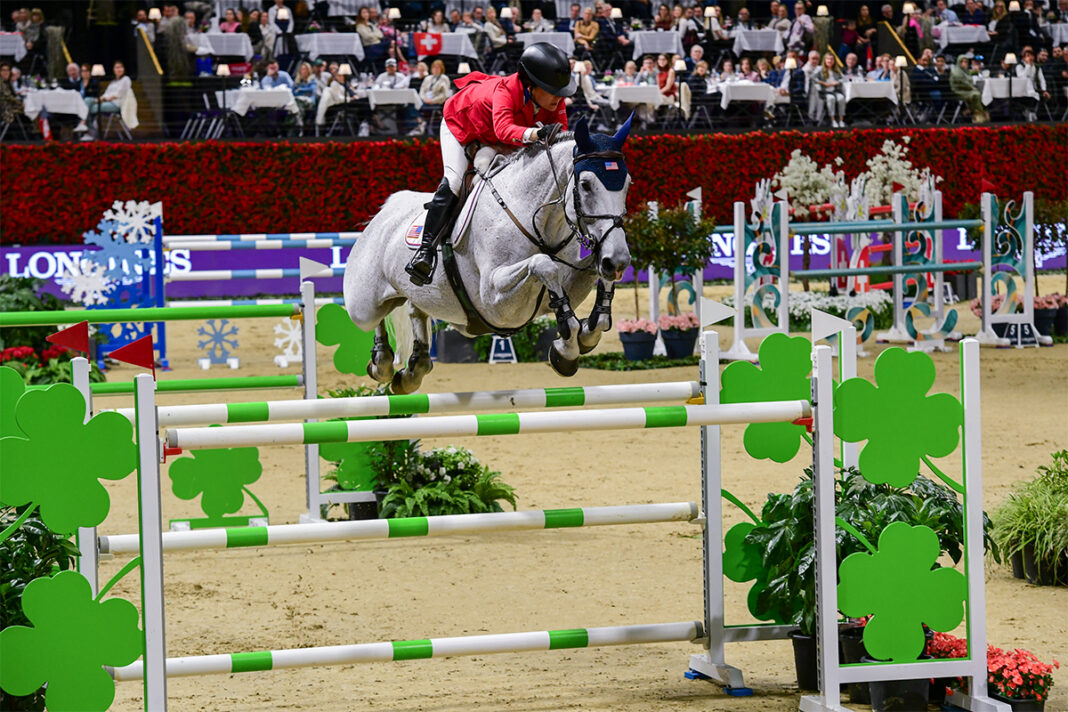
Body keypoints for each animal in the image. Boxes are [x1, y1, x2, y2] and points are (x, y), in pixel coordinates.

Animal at [343, 116, 634, 394]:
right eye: (585, 184)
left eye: (628, 184)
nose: (618, 260)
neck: (539, 224)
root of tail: (386, 211)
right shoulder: (493, 299)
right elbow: (544, 264)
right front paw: (567, 350)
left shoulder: (577, 271)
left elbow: (595, 278)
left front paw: (586, 333)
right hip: (363, 306)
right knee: (374, 319)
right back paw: (381, 361)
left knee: (417, 309)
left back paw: (413, 370)